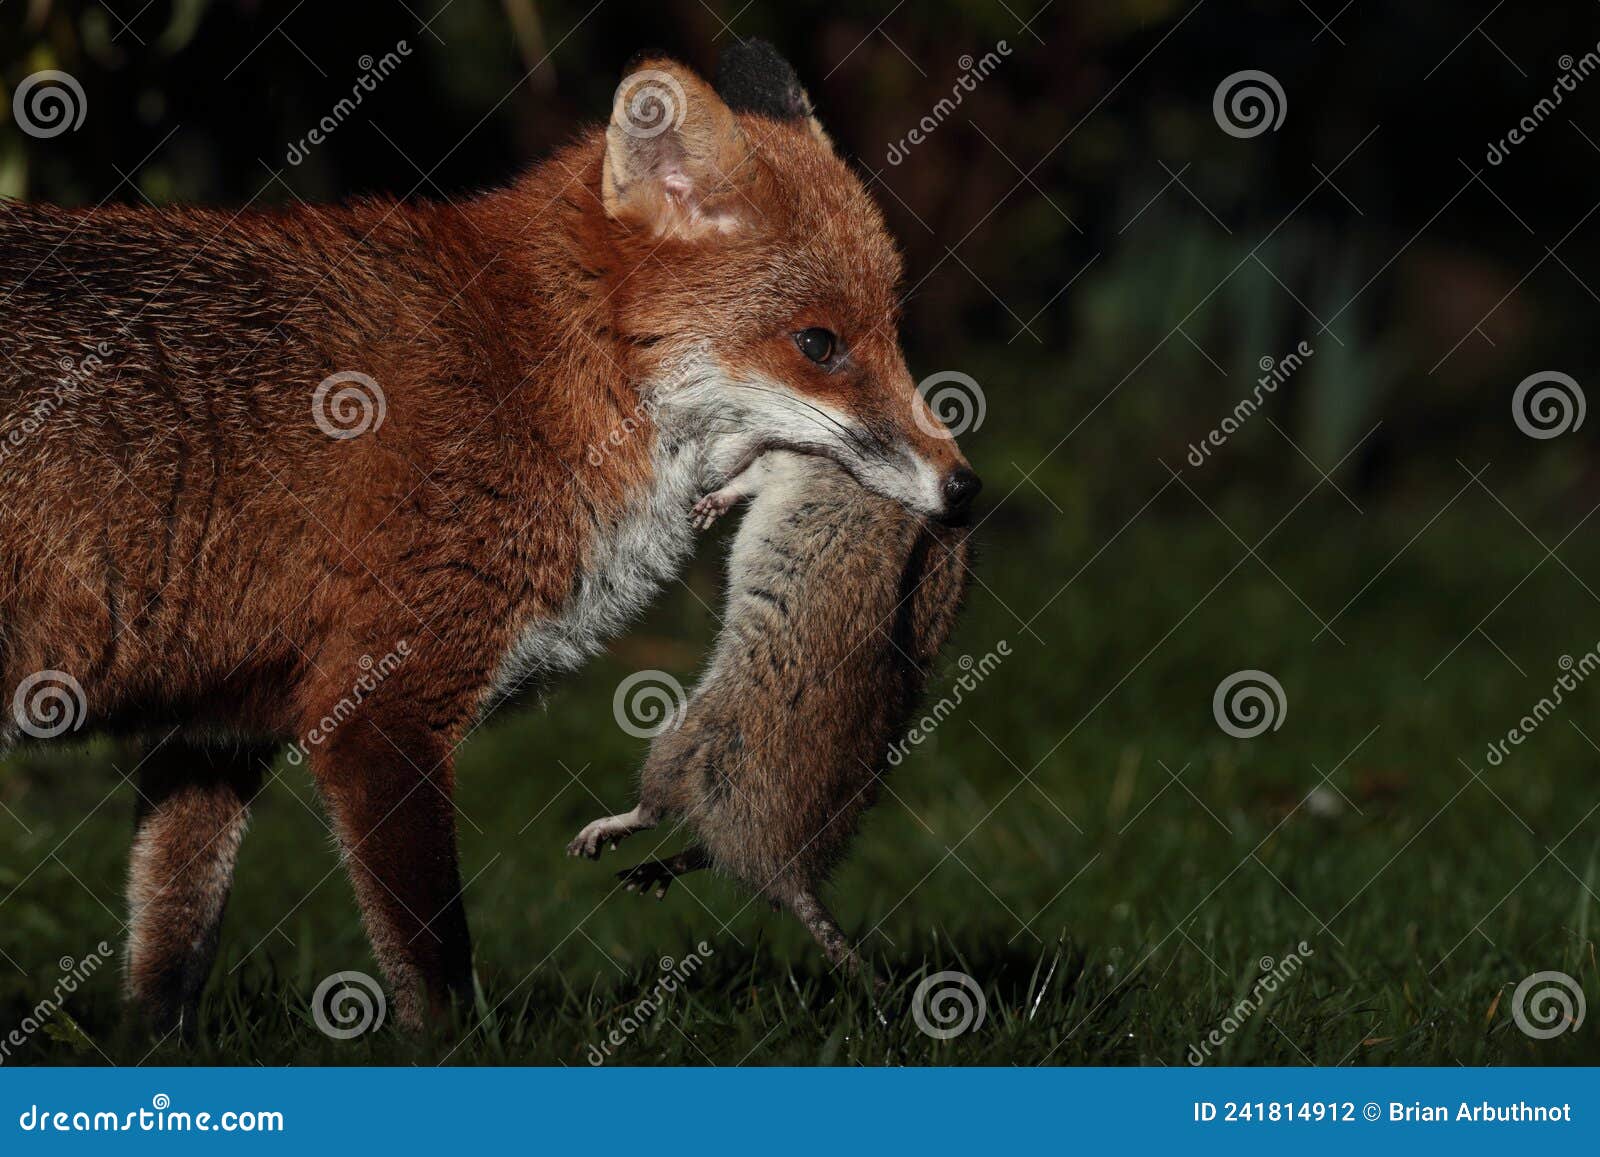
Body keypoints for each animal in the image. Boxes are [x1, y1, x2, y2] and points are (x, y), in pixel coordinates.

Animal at [566, 451, 971, 976]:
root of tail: (788, 874)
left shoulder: (795, 460)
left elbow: (753, 474)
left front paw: (714, 500)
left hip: (684, 741)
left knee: (654, 811)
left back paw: (608, 828)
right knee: (711, 853)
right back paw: (661, 867)